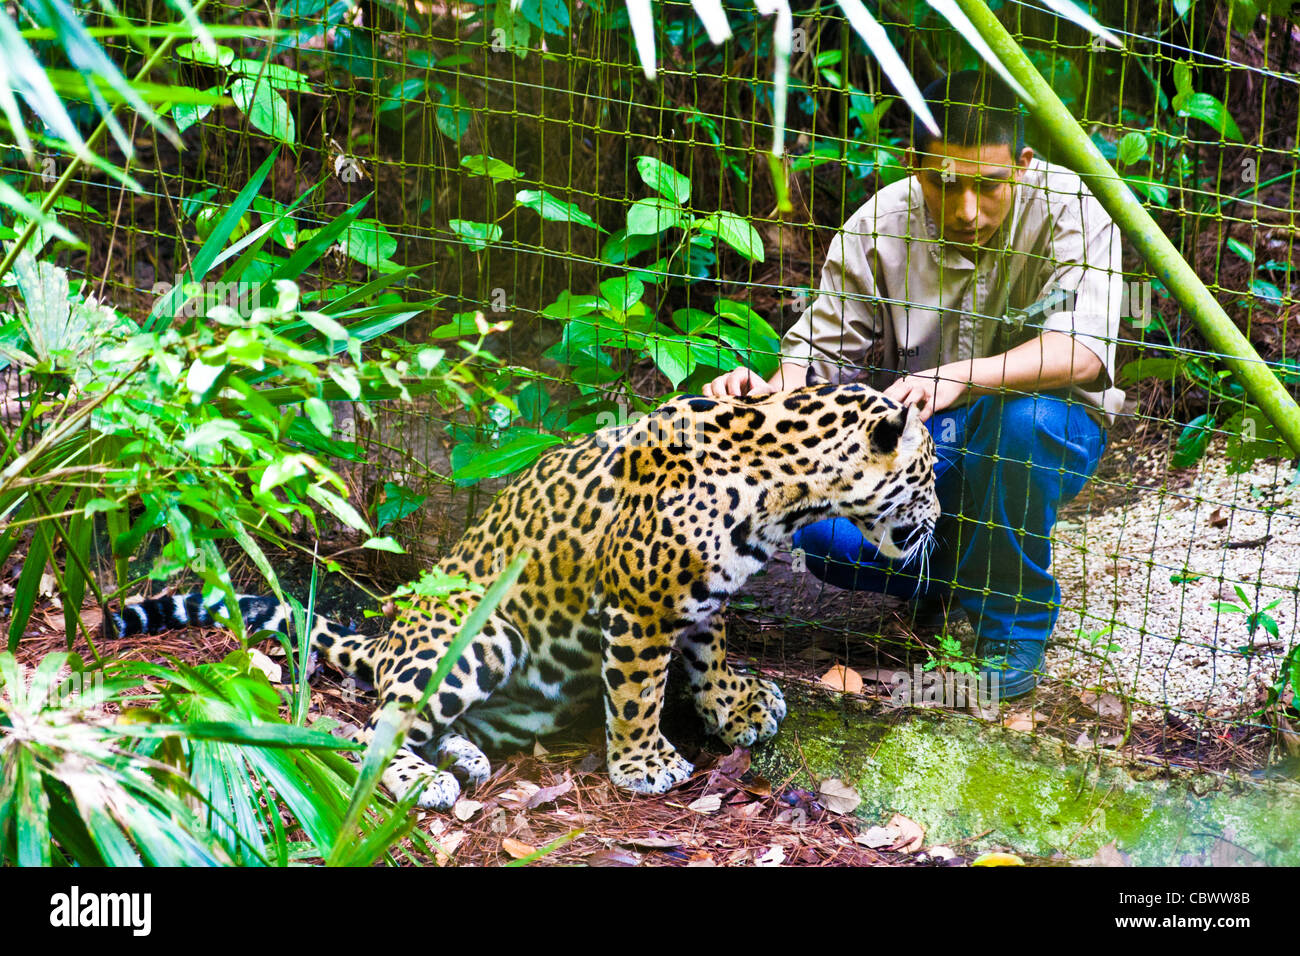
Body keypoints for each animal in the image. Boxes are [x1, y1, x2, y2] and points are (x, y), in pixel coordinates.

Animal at [109, 383, 939, 810]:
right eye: (929, 473)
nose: (939, 520)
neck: (783, 492)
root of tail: (386, 642)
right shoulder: (640, 608)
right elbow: (638, 693)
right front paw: (644, 765)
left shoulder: (702, 598)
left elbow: (709, 658)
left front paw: (739, 707)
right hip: (482, 635)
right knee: (377, 726)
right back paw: (425, 780)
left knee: (440, 723)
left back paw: (467, 757)